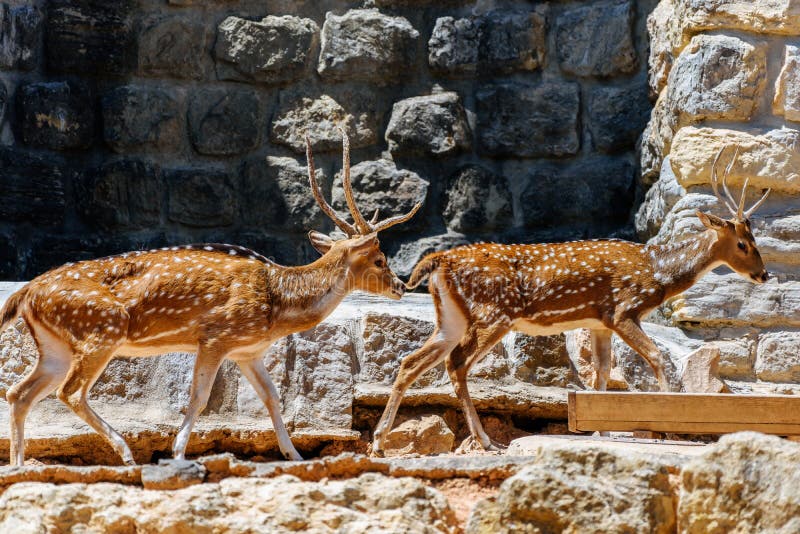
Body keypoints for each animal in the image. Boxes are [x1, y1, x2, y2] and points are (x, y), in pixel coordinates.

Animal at [1, 130, 420, 466]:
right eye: (379, 259)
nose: (400, 286)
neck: (277, 306)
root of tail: (25, 292)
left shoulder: (248, 351)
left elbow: (273, 398)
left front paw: (295, 454)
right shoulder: (217, 337)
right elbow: (198, 398)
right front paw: (178, 453)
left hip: (56, 346)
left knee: (20, 392)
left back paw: (21, 465)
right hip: (101, 330)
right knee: (69, 392)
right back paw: (125, 452)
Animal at [371, 146, 771, 455]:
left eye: (756, 241)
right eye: (742, 244)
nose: (764, 274)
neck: (657, 272)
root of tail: (440, 261)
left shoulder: (599, 322)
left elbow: (601, 373)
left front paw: (601, 430)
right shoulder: (623, 309)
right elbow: (657, 358)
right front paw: (667, 430)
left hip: (452, 317)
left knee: (411, 361)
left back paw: (379, 440)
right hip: (493, 313)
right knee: (456, 364)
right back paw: (483, 440)